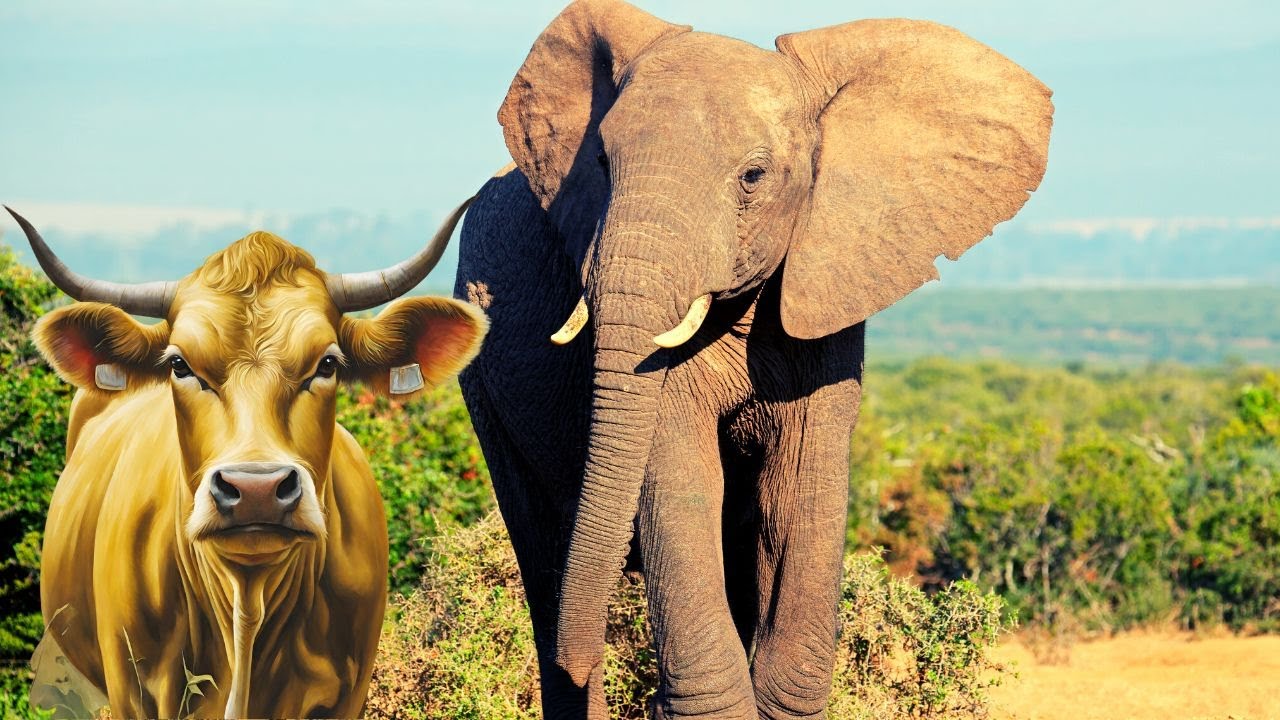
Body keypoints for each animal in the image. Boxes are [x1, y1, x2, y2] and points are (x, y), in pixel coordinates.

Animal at [454, 1, 1052, 717]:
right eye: (599, 160)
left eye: (753, 177)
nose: (590, 653)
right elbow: (679, 481)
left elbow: (796, 489)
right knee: (544, 551)